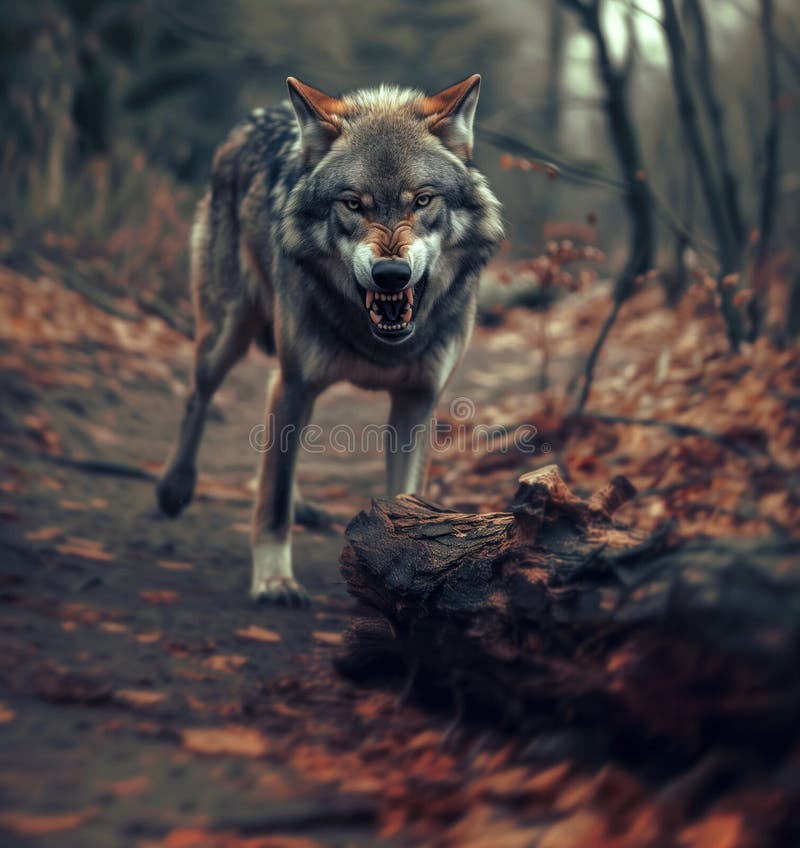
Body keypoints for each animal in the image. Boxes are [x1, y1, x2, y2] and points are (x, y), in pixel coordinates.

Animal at [156, 74, 503, 605]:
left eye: (422, 200)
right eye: (353, 203)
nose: (390, 274)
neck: (379, 344)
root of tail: (257, 115)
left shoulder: (416, 402)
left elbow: (404, 499)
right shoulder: (297, 383)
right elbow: (273, 500)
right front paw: (274, 580)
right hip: (227, 337)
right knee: (200, 396)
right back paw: (175, 487)